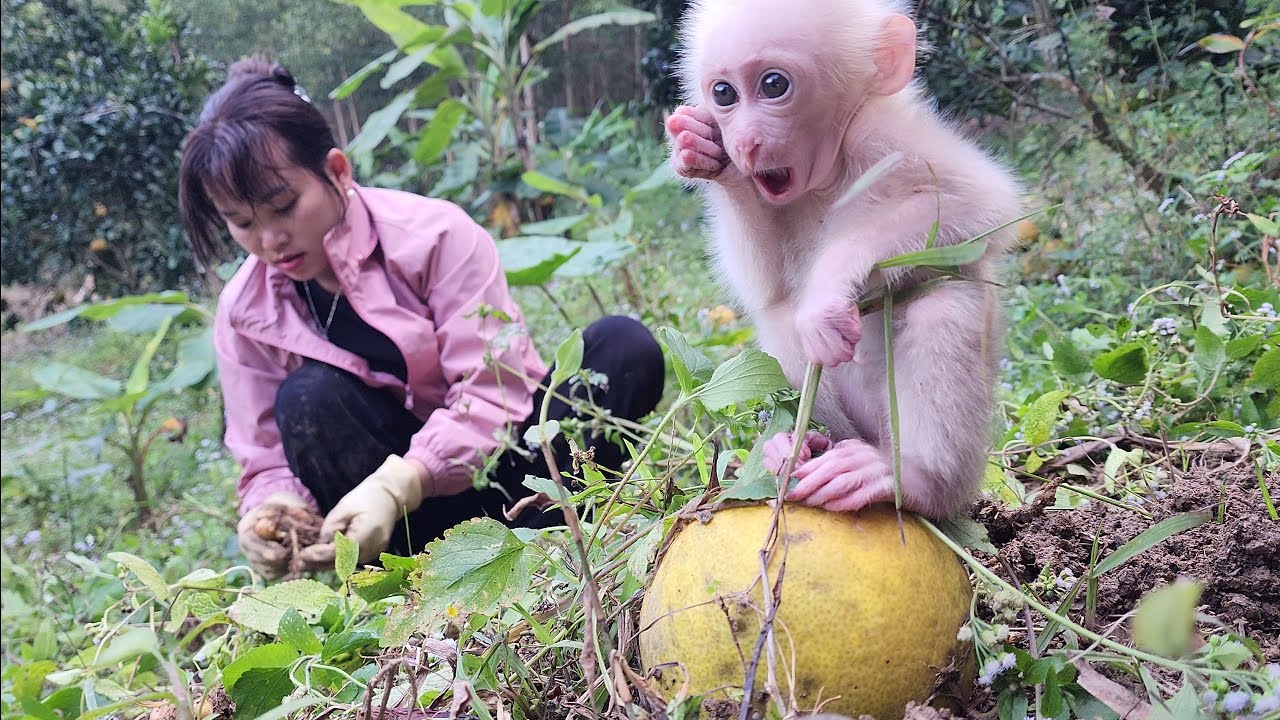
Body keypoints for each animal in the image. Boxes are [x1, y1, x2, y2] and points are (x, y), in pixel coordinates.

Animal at [665, 0, 1023, 519]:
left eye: (773, 85)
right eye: (723, 94)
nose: (746, 143)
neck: (830, 169)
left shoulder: (881, 132)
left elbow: (982, 203)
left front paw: (826, 293)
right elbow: (767, 288)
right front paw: (705, 153)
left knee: (944, 300)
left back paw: (916, 479)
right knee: (779, 319)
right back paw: (800, 448)